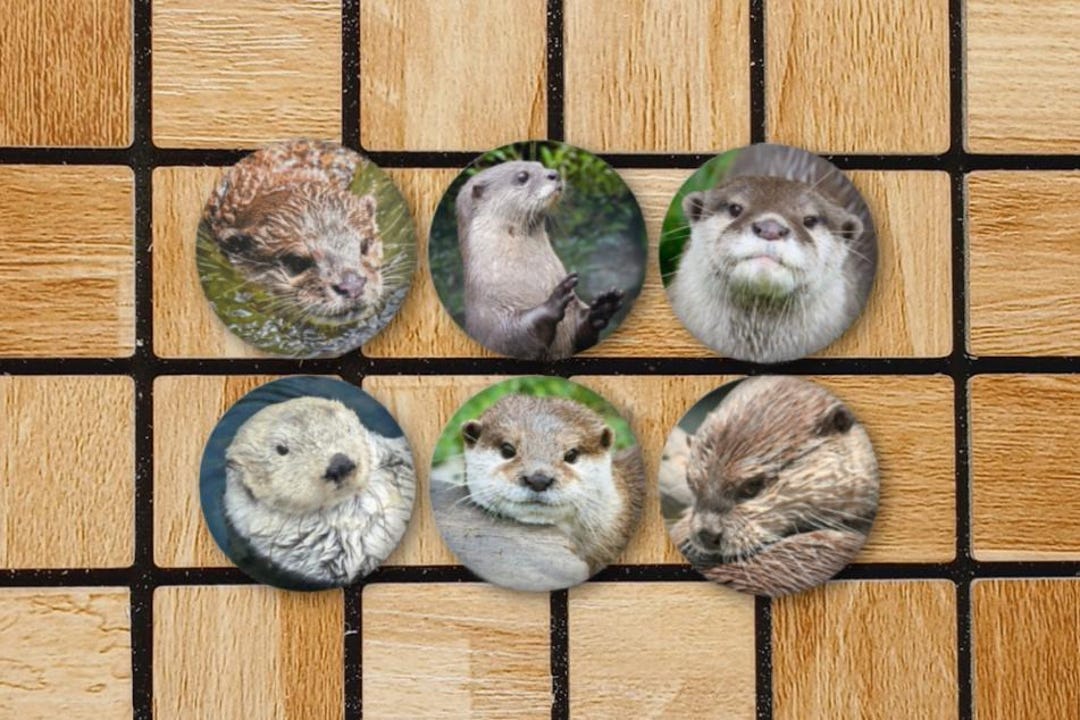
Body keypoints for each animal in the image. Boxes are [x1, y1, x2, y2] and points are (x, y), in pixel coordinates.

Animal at [456, 160, 623, 360]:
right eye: (522, 177)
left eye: (541, 165)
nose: (554, 174)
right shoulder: (492, 321)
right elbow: (514, 338)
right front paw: (556, 298)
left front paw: (603, 307)